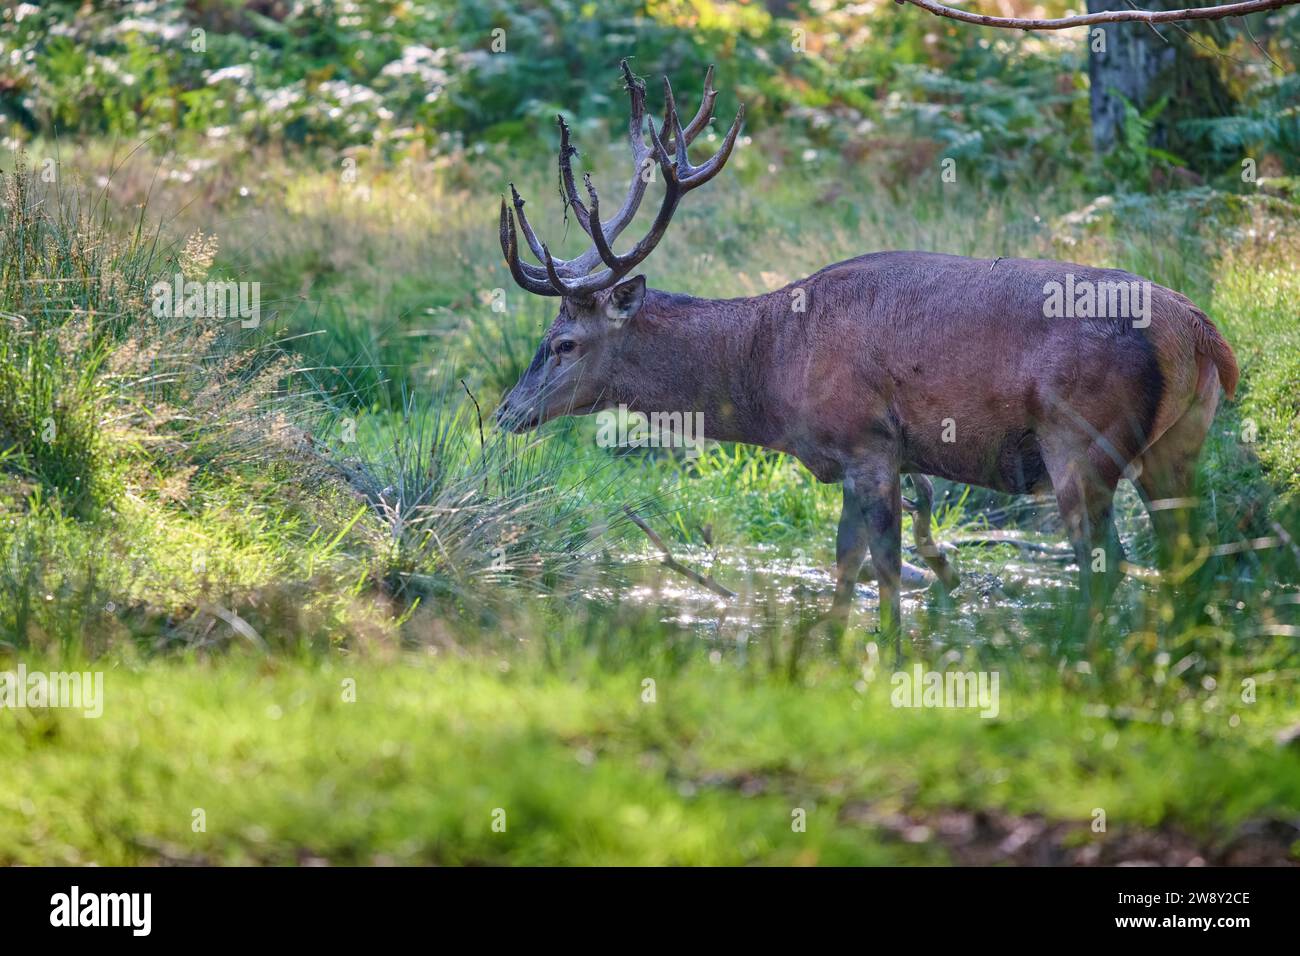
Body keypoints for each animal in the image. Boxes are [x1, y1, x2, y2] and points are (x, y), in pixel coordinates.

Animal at [495, 61, 1240, 639]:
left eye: (561, 343)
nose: (506, 413)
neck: (770, 364)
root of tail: (1202, 331)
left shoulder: (869, 441)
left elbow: (882, 568)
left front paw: (887, 656)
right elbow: (846, 565)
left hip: (1081, 439)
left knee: (1107, 561)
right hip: (1178, 443)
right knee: (1188, 552)